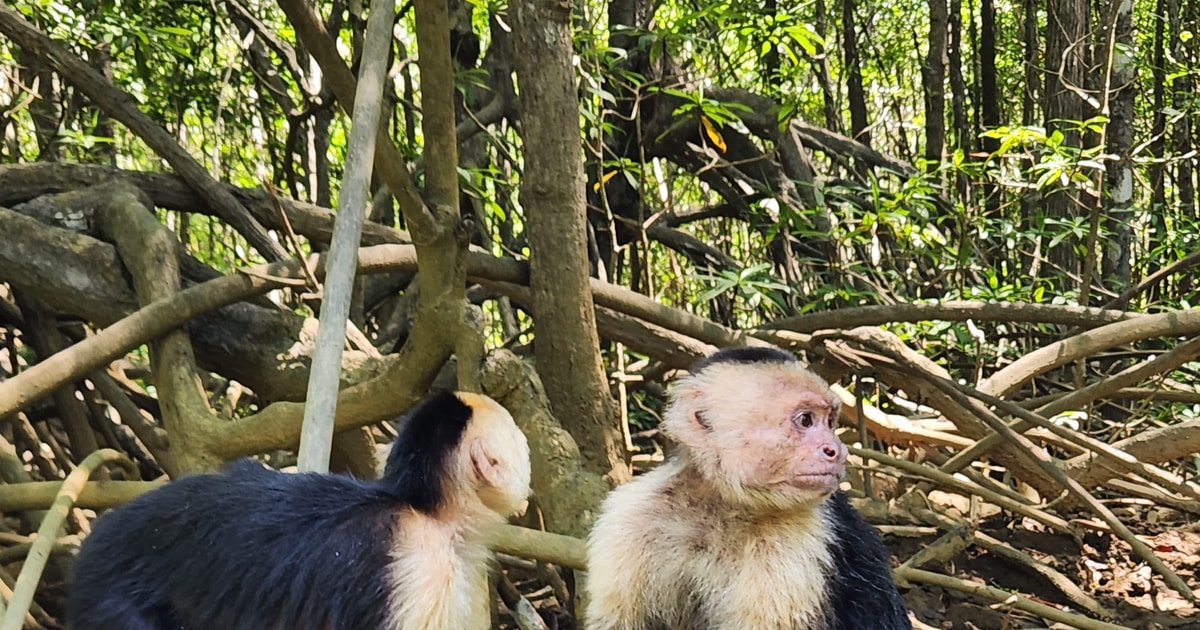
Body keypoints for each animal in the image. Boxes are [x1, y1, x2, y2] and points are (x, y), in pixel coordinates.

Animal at [586, 347, 911, 630]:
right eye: (806, 420)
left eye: (830, 421)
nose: (837, 450)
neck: (720, 505)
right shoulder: (629, 521)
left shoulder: (793, 546)